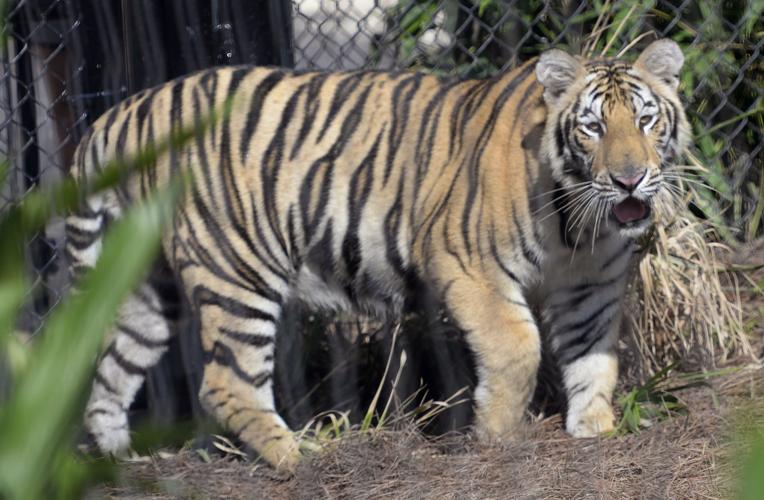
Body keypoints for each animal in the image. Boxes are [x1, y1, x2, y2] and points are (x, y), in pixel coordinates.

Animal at [65, 39, 689, 471]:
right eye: (592, 127)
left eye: (646, 119)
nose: (630, 179)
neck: (579, 225)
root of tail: (120, 115)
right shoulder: (467, 263)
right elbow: (517, 350)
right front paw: (501, 439)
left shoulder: (591, 286)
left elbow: (594, 357)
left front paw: (594, 428)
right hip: (237, 268)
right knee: (226, 382)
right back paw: (299, 457)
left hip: (150, 285)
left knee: (111, 369)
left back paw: (124, 464)